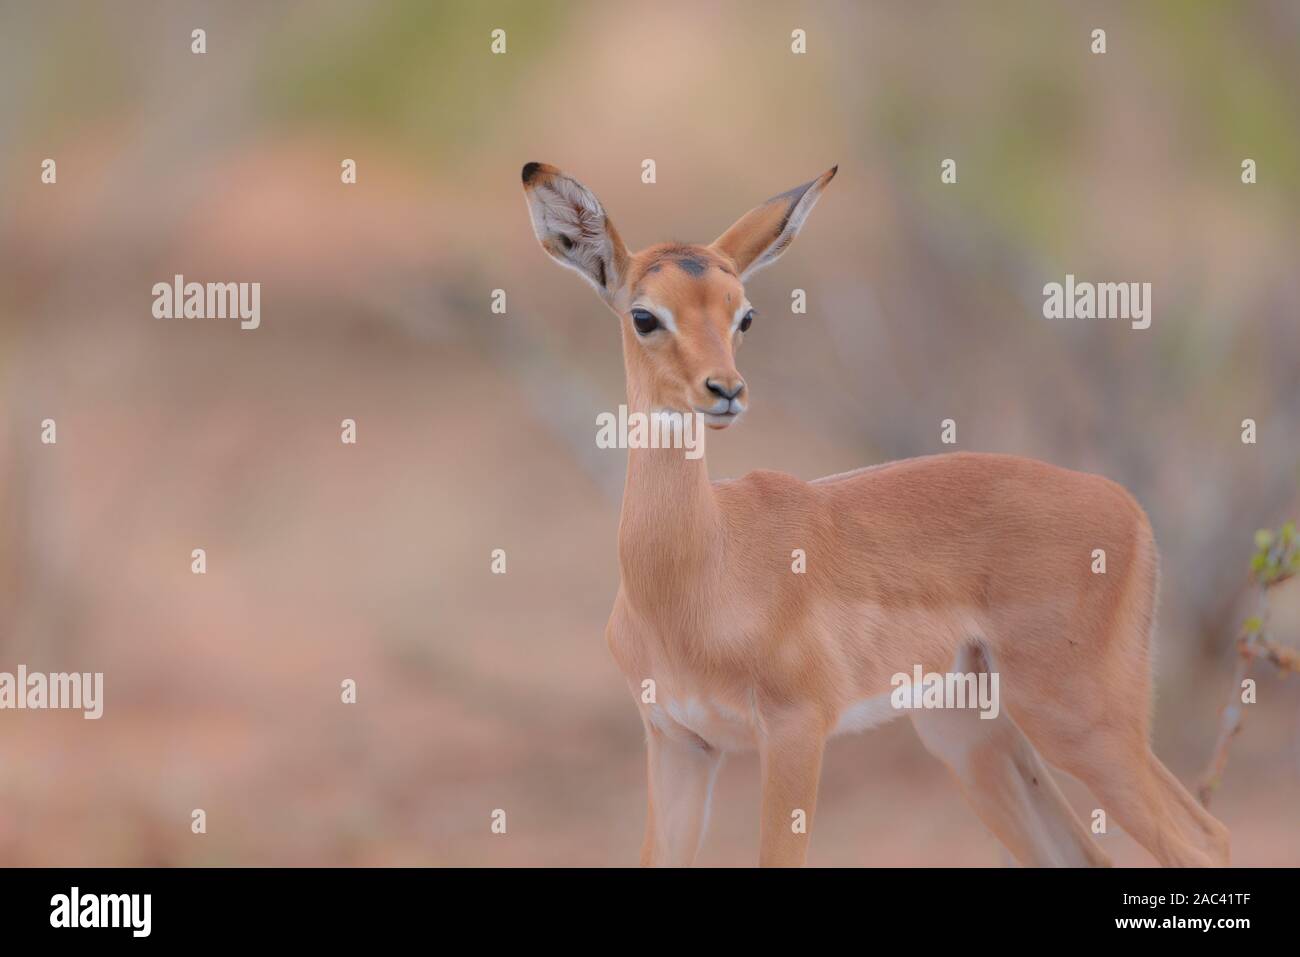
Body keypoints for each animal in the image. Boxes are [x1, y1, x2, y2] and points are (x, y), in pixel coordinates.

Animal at [521, 162, 1231, 868]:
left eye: (744, 314)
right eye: (644, 315)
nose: (725, 391)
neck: (698, 574)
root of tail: (1128, 507)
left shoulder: (796, 730)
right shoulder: (679, 743)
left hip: (1079, 720)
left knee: (1203, 839)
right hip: (969, 733)